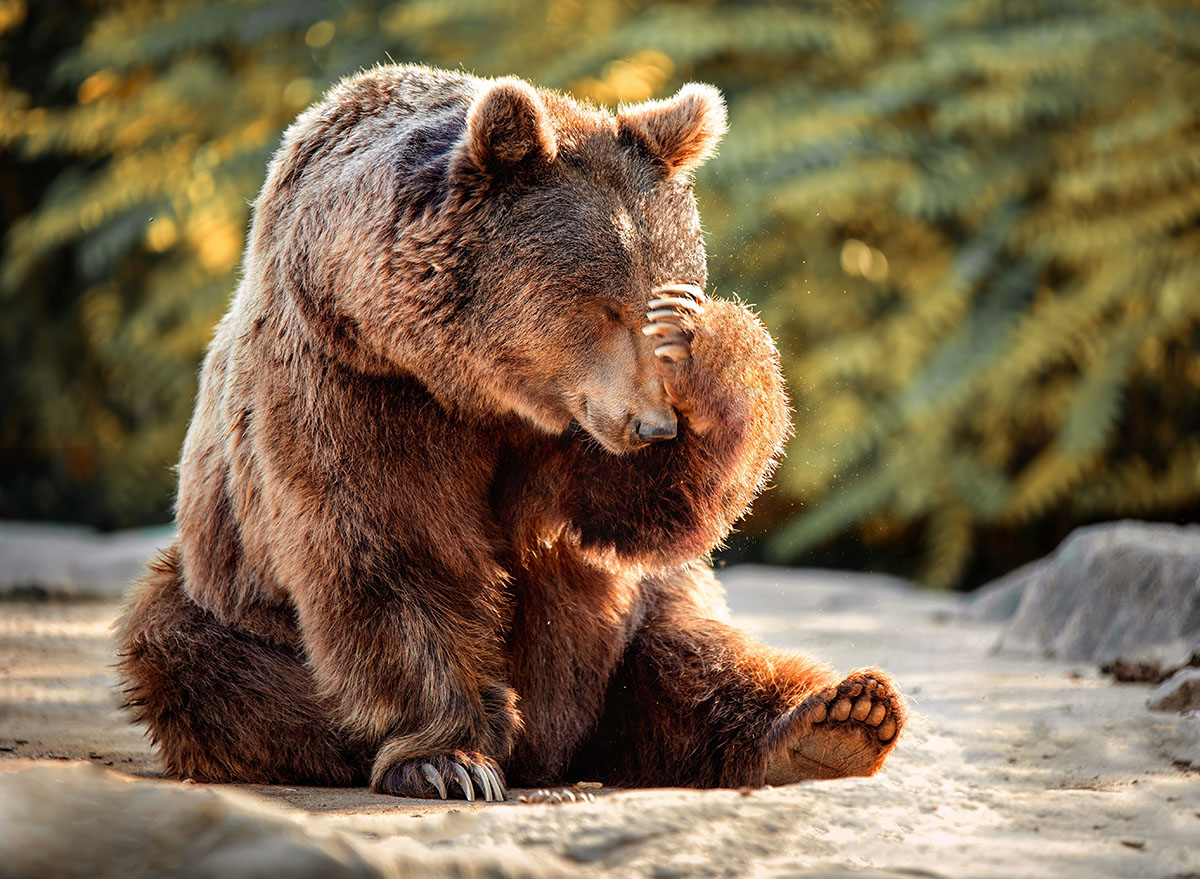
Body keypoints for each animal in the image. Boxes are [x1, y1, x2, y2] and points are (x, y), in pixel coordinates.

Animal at [115, 64, 905, 801]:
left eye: (662, 293)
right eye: (602, 305)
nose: (654, 426)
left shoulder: (565, 431)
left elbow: (639, 511)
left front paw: (702, 342)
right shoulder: (352, 381)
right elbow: (395, 549)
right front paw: (450, 759)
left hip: (646, 618)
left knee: (689, 654)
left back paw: (837, 719)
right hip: (230, 597)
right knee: (190, 652)